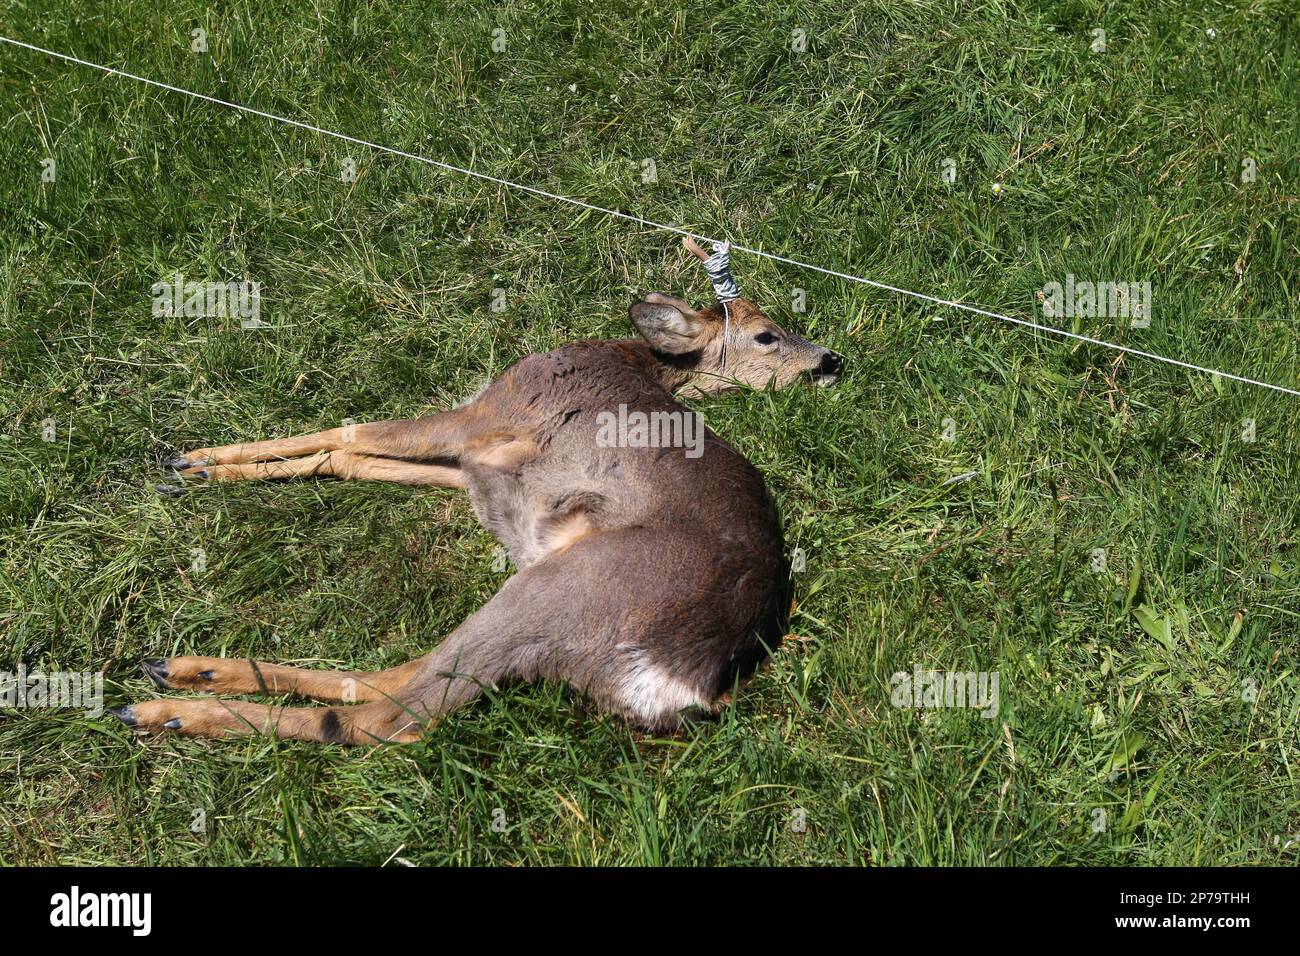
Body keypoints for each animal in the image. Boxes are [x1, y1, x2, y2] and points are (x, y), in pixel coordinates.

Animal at [108, 238, 846, 744]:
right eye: (767, 334)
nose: (832, 359)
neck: (631, 357)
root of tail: (700, 682)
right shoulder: (478, 463)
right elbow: (351, 458)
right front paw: (203, 468)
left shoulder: (487, 416)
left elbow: (351, 432)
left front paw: (197, 461)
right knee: (398, 678)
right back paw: (182, 671)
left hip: (561, 586)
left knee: (387, 718)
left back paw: (164, 707)